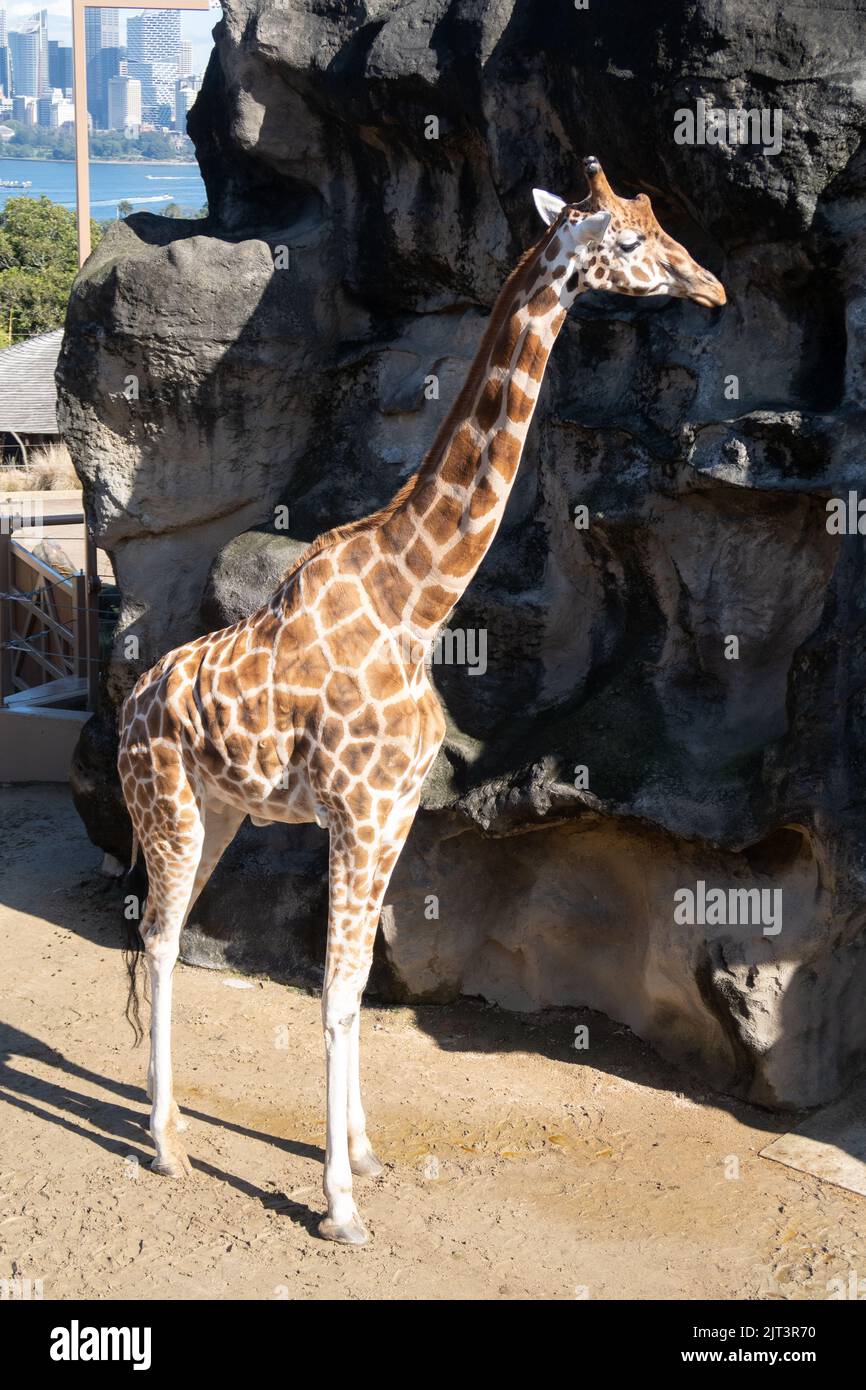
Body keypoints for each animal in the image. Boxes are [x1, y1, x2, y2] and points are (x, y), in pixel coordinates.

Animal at [118, 156, 726, 1246]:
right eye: (624, 241)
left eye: (660, 223)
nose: (713, 287)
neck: (416, 600)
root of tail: (127, 708)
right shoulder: (357, 811)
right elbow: (333, 992)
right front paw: (339, 1207)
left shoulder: (395, 809)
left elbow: (356, 983)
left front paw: (361, 1156)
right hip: (171, 812)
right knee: (156, 937)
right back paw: (166, 1145)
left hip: (224, 813)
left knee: (170, 939)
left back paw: (175, 1132)